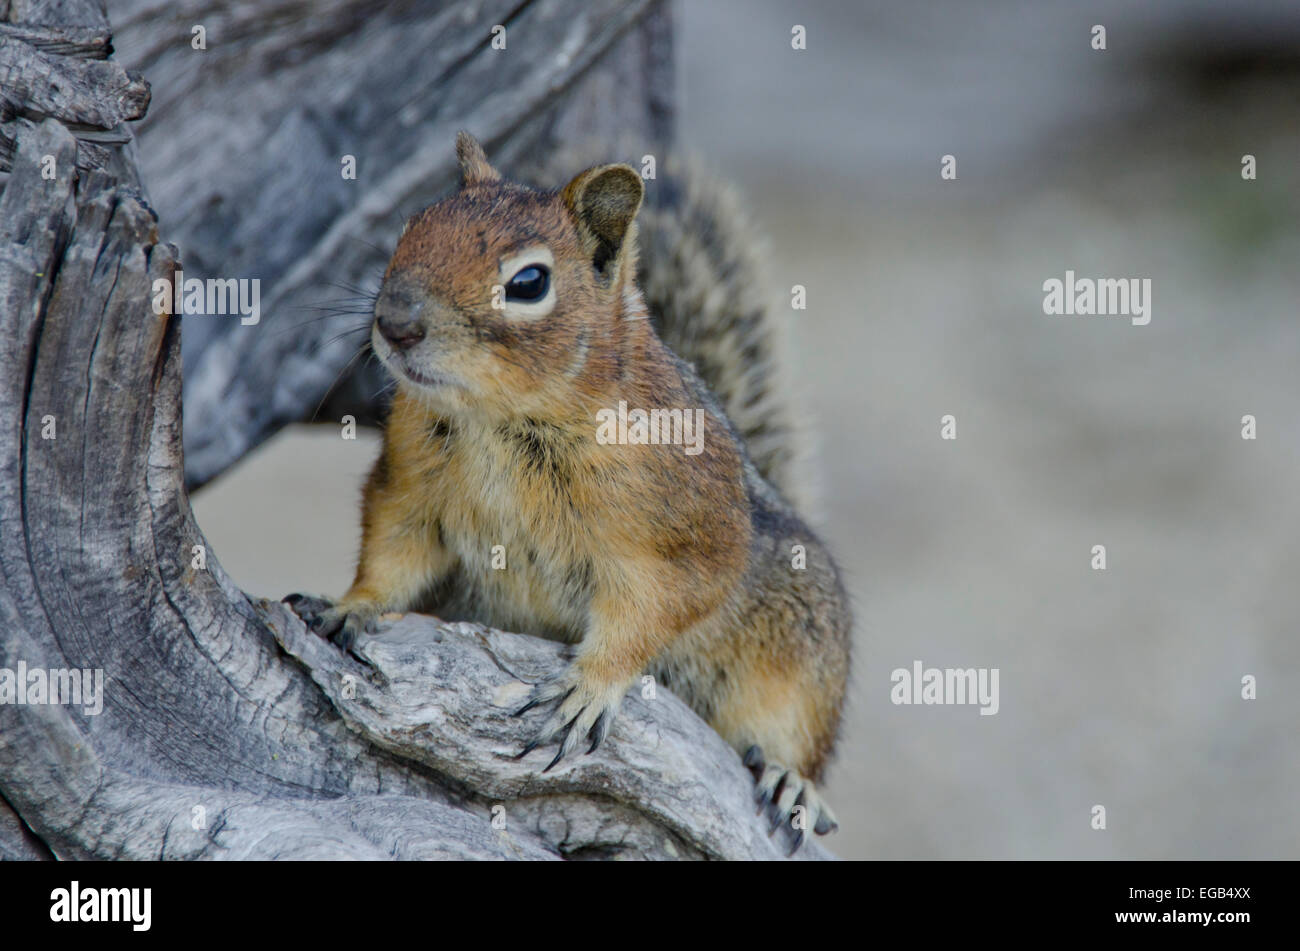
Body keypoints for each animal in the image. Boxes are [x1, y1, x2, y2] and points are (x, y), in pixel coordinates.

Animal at [286, 133, 852, 850]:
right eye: (412, 228)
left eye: (529, 282)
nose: (395, 322)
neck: (500, 418)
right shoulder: (408, 491)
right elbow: (390, 555)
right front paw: (350, 605)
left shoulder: (686, 539)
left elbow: (652, 612)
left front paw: (590, 684)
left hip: (802, 655)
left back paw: (790, 778)